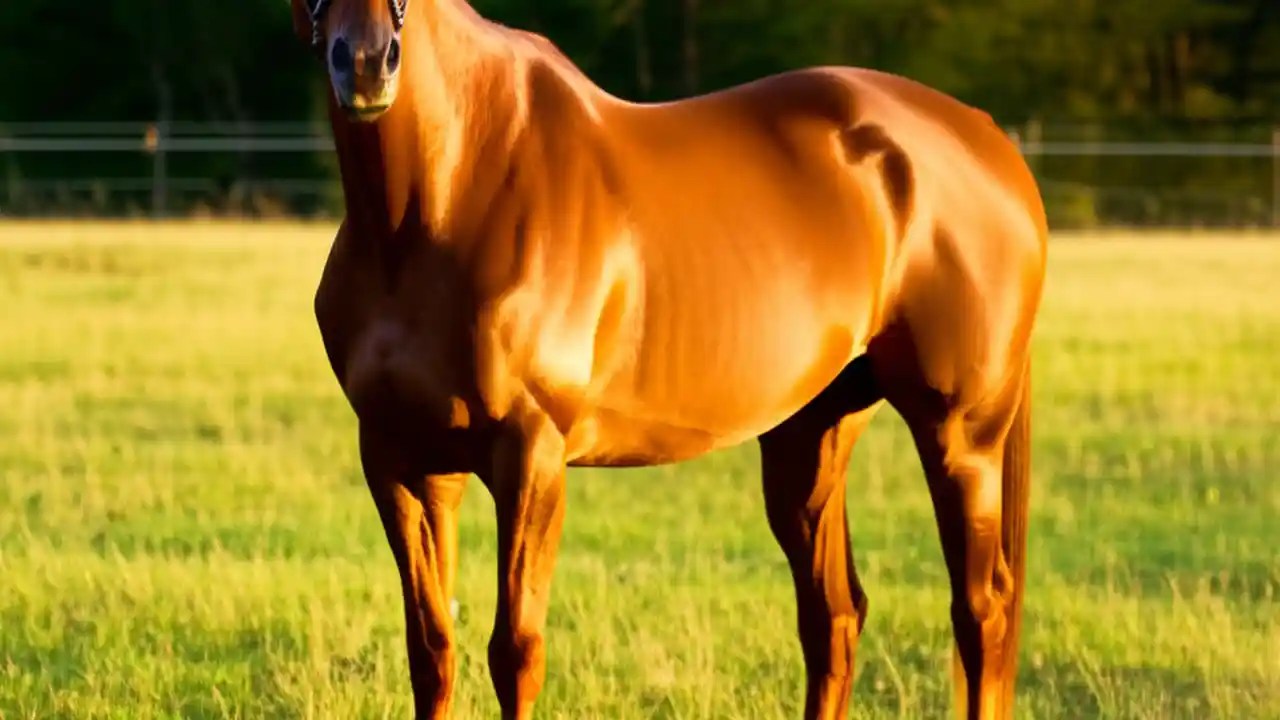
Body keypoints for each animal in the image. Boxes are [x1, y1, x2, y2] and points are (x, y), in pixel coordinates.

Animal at [289, 0, 1047, 718]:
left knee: (981, 612)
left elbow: (515, 652)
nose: (365, 64)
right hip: (813, 435)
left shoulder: (530, 455)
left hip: (961, 438)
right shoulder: (404, 462)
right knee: (834, 616)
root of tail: (987, 139)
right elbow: (432, 650)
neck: (443, 198)